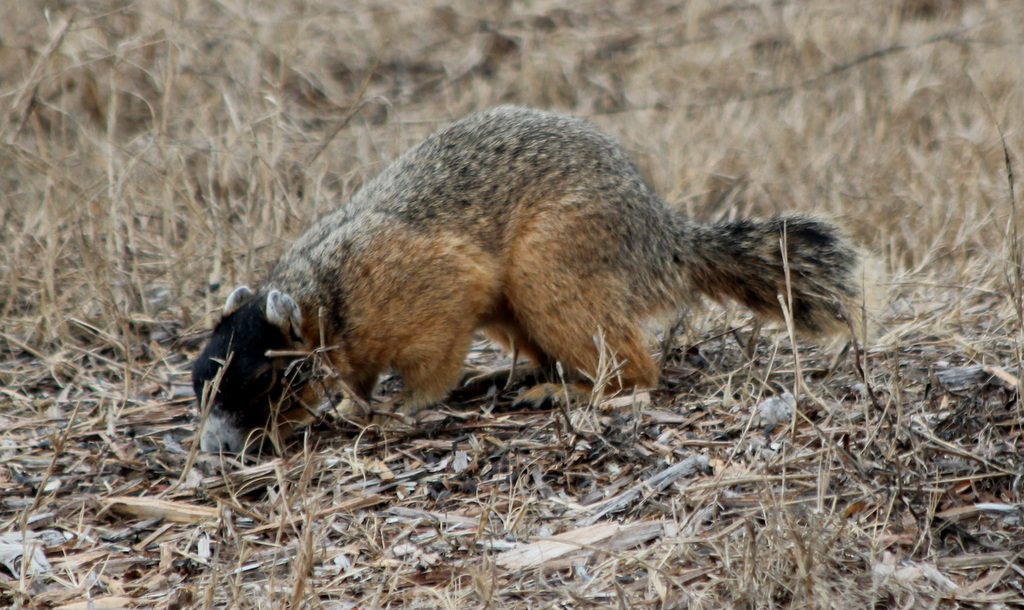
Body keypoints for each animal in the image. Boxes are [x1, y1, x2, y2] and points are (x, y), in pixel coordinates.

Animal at [192, 106, 877, 453]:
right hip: (517, 307)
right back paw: (513, 375)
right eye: (198, 376)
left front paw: (403, 402)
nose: (216, 448)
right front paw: (350, 400)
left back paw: (564, 391)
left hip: (552, 270)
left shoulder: (430, 287)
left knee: (632, 368)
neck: (328, 295)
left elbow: (432, 363)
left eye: (266, 378)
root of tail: (663, 244)